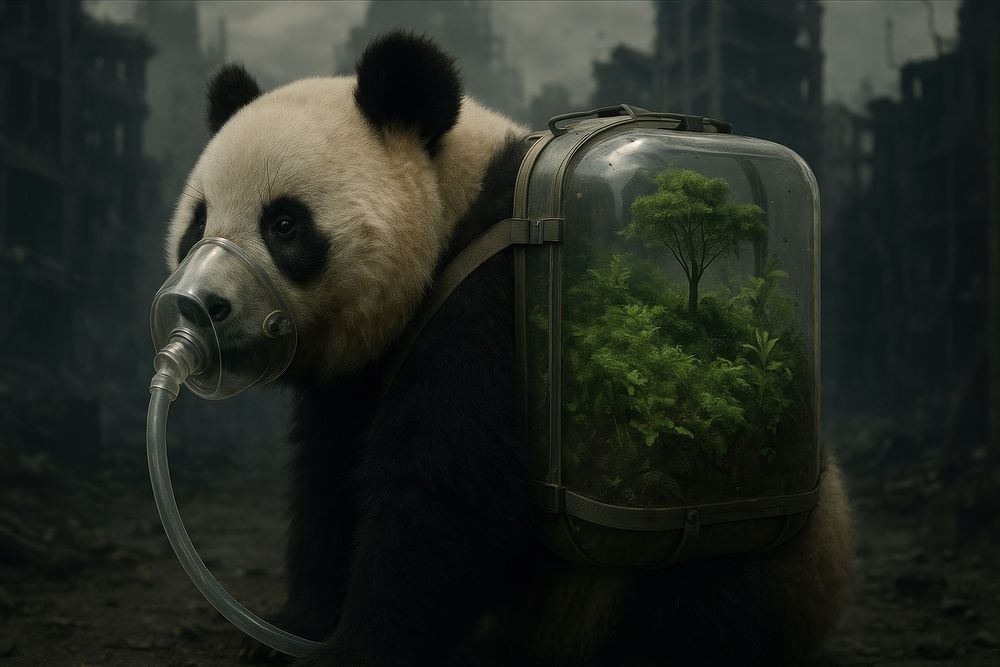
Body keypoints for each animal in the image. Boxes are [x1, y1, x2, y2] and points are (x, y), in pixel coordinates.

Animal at [166, 30, 854, 667]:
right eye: (198, 225)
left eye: (285, 225)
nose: (203, 307)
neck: (456, 206)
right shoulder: (355, 381)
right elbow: (328, 478)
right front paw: (288, 631)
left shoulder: (495, 304)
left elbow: (452, 488)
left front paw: (356, 648)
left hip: (730, 518)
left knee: (703, 601)